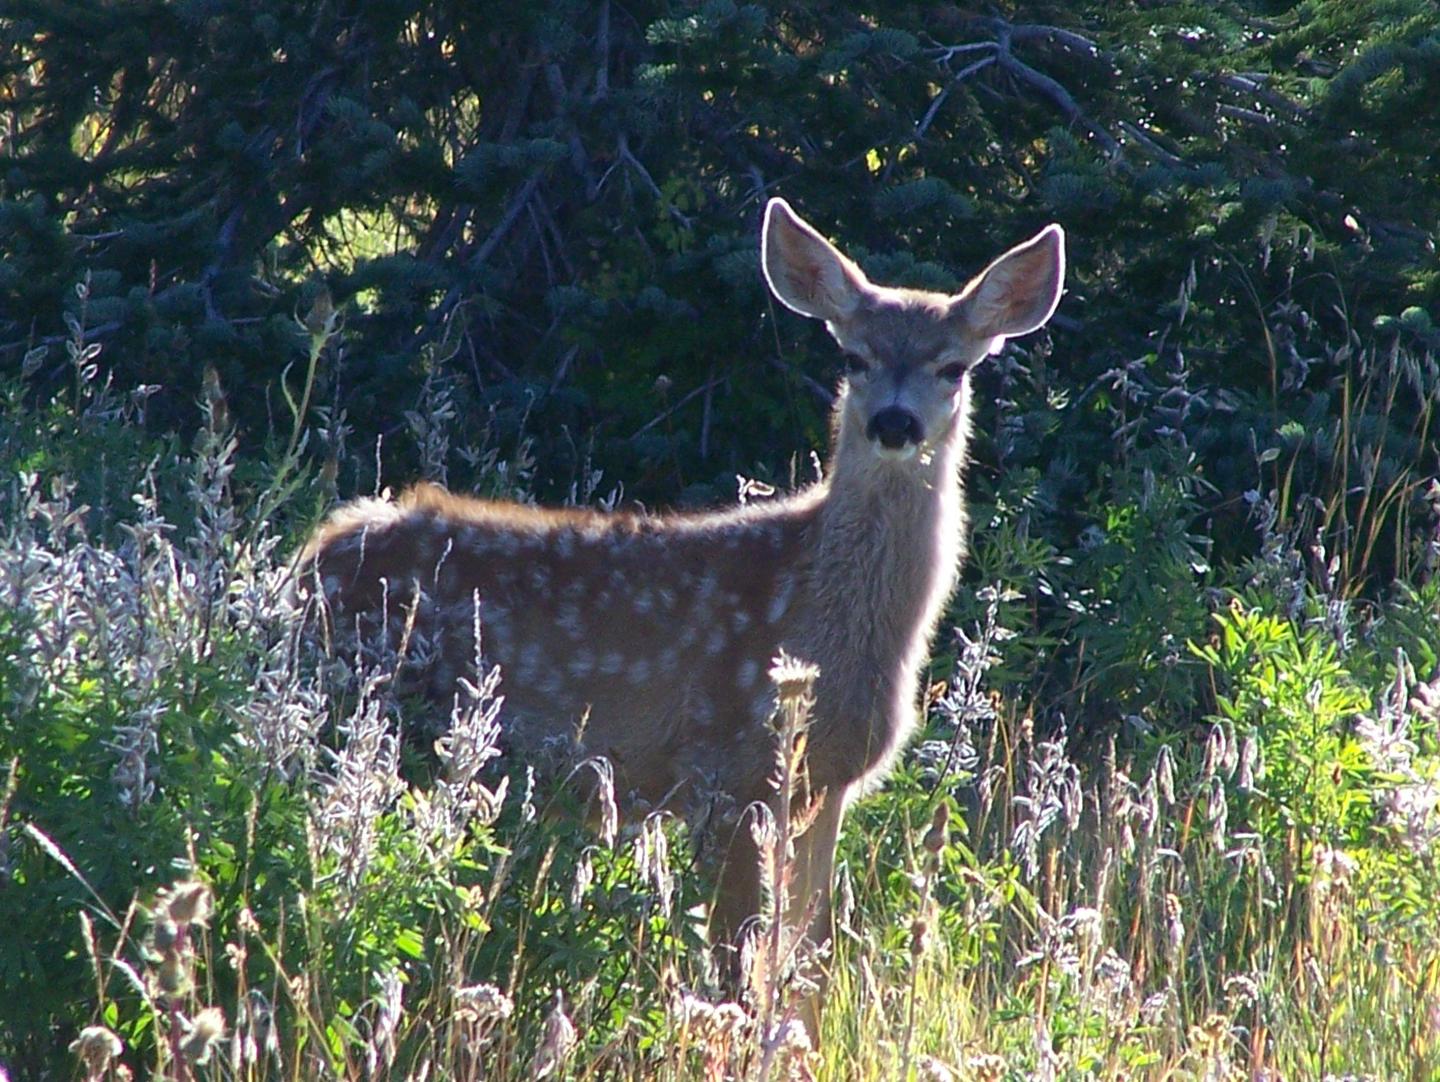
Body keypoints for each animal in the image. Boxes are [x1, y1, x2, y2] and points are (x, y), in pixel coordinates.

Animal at [300, 198, 1065, 1040]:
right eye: (854, 356)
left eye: (953, 366)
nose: (895, 423)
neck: (823, 619)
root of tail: (310, 558)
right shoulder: (727, 769)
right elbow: (737, 966)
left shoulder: (824, 784)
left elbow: (810, 955)